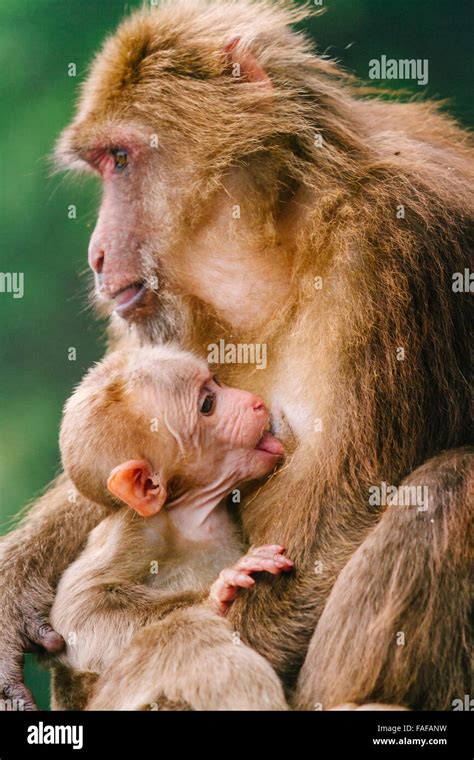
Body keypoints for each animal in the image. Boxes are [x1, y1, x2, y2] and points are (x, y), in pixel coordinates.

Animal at [49, 343, 290, 710]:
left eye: (216, 382)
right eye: (208, 405)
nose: (256, 403)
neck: (194, 515)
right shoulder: (132, 531)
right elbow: (79, 611)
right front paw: (219, 592)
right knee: (183, 631)